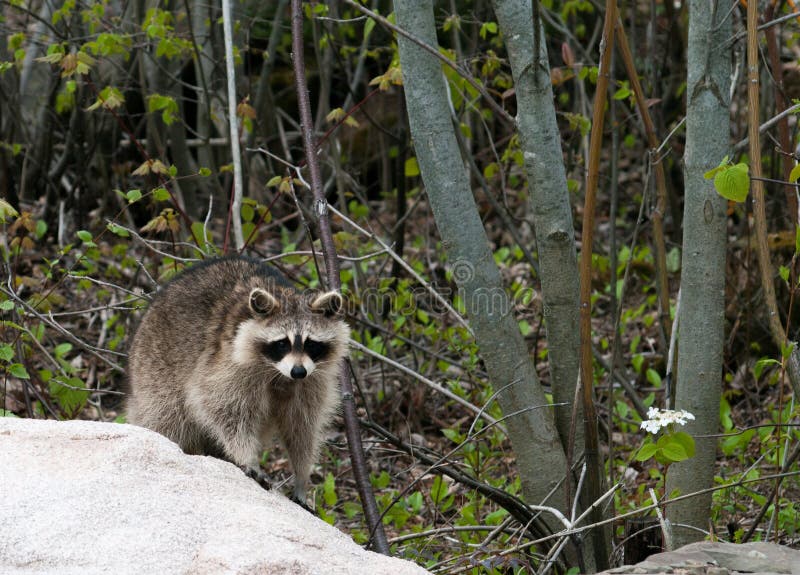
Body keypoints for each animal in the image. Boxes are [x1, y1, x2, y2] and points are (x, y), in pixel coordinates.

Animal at [126, 256, 349, 505]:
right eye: (282, 343)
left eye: (311, 344)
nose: (298, 371)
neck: (278, 373)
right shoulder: (227, 365)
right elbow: (223, 409)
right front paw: (247, 457)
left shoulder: (312, 381)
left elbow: (302, 426)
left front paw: (301, 475)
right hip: (154, 374)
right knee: (167, 419)